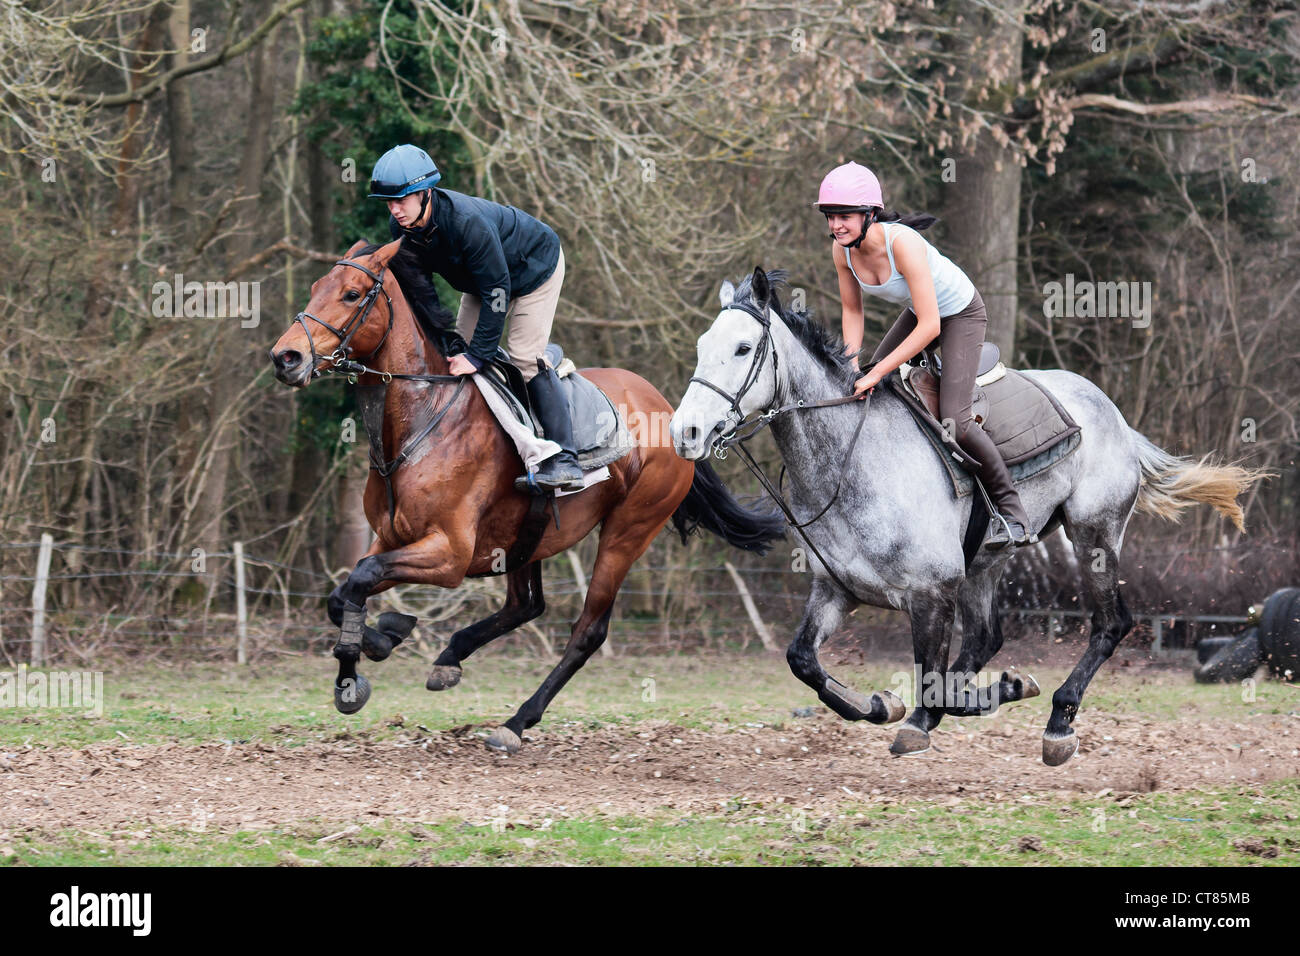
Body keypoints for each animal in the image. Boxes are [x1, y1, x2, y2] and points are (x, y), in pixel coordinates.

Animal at [268, 240, 784, 753]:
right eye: (315, 287)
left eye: (352, 294)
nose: (285, 357)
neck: (420, 421)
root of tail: (670, 412)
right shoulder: (392, 538)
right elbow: (343, 592)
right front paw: (377, 644)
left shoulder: (449, 554)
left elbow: (361, 578)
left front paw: (357, 672)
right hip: (522, 538)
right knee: (525, 605)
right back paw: (450, 659)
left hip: (627, 532)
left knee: (588, 630)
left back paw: (516, 722)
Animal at [669, 268, 1268, 765]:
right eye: (701, 347)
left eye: (744, 347)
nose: (684, 433)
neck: (852, 458)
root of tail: (1114, 415)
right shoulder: (836, 590)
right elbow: (803, 660)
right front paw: (882, 704)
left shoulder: (933, 592)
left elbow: (927, 676)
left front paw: (916, 721)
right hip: (987, 561)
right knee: (985, 639)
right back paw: (1002, 691)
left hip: (1092, 533)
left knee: (1110, 623)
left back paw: (1057, 721)